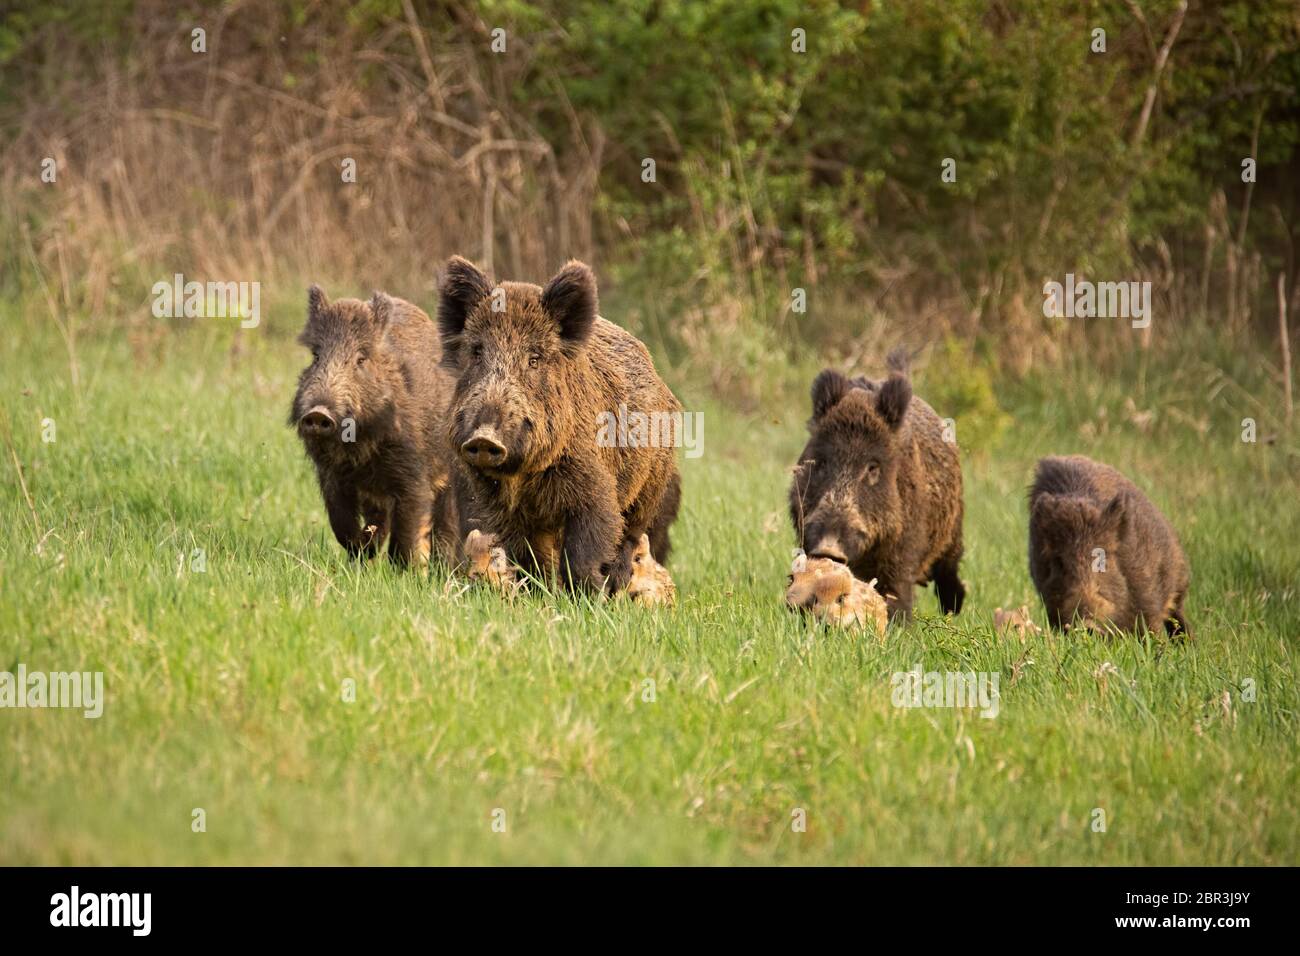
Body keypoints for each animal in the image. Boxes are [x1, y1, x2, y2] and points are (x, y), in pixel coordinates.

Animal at [290, 286, 457, 565]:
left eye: (361, 359)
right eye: (316, 355)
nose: (318, 413)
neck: (356, 446)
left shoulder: (413, 473)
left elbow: (407, 531)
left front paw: (404, 570)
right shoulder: (330, 476)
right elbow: (341, 524)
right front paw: (359, 556)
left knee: (446, 526)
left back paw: (441, 567)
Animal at [436, 256, 681, 593]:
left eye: (534, 359)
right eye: (476, 352)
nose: (484, 438)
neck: (524, 478)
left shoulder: (595, 490)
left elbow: (585, 550)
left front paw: (589, 595)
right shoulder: (500, 508)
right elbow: (526, 557)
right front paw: (537, 593)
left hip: (650, 488)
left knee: (631, 534)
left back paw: (617, 584)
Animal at [789, 351, 965, 620]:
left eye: (872, 467)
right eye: (823, 462)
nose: (829, 548)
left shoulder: (902, 553)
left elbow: (896, 597)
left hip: (953, 532)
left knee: (949, 571)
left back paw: (953, 610)